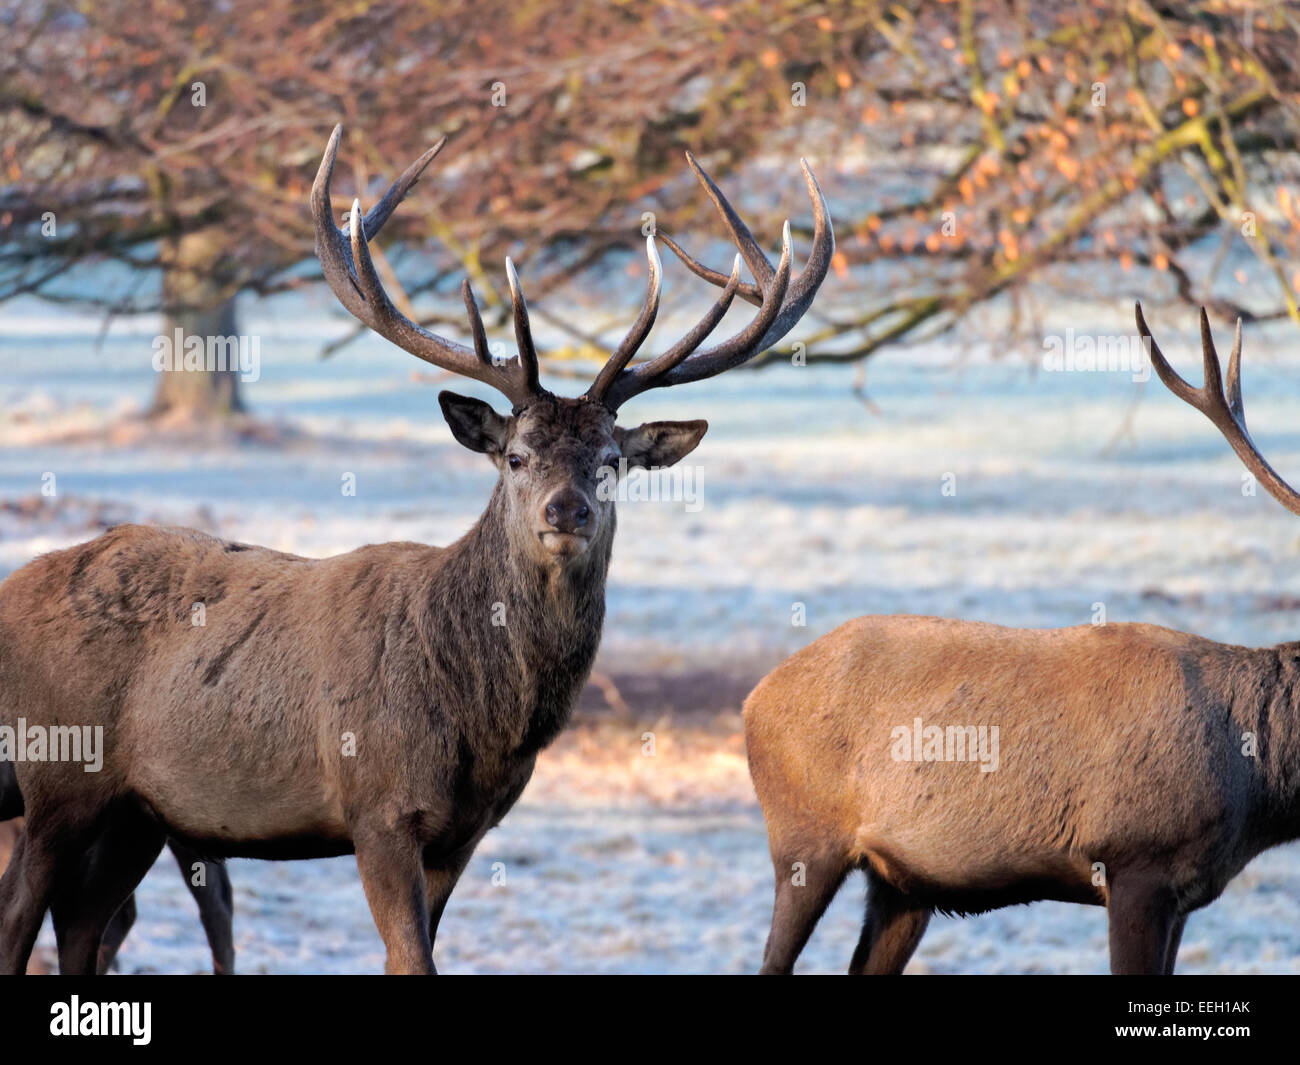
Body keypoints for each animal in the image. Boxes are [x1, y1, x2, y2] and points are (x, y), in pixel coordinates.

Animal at [0, 124, 833, 975]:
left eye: (612, 460)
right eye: (516, 456)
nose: (566, 510)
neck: (480, 718)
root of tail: (15, 588)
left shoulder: (462, 834)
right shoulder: (378, 808)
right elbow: (411, 957)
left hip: (132, 812)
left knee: (83, 923)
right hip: (57, 774)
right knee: (19, 911)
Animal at [743, 305, 1300, 975]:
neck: (1258, 785)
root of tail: (753, 700)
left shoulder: (1187, 895)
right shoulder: (1136, 862)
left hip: (902, 883)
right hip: (802, 841)